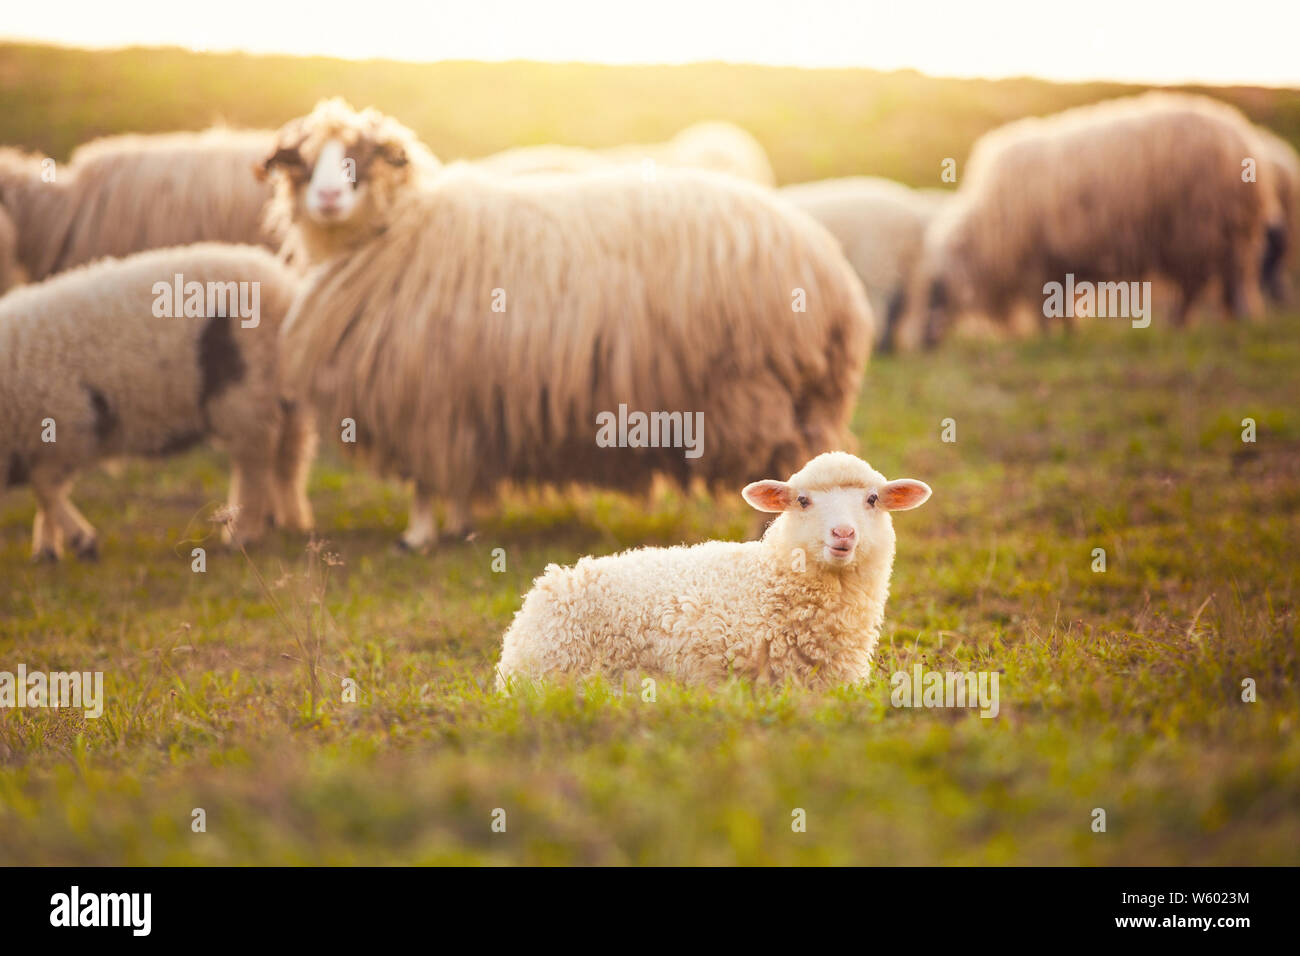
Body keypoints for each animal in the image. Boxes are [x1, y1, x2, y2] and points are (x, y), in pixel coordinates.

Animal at [0, 243, 315, 559]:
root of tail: (284, 288)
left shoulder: (68, 428)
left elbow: (44, 489)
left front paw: (81, 542)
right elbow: (45, 494)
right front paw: (47, 550)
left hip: (246, 391)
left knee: (256, 462)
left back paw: (243, 535)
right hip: (281, 396)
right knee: (288, 458)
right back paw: (291, 522)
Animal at [260, 98, 870, 551]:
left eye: (360, 156)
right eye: (304, 161)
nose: (328, 196)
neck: (399, 230)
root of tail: (828, 268)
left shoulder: (427, 395)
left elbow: (428, 478)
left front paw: (419, 535)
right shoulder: (462, 398)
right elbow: (455, 472)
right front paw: (458, 525)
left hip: (754, 389)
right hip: (794, 394)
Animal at [779, 177, 950, 351]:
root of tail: (914, 220)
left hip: (878, 267)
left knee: (883, 311)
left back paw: (881, 346)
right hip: (907, 271)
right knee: (906, 307)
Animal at [916, 92, 1282, 347]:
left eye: (937, 287)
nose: (923, 342)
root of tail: (1244, 142)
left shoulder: (1037, 265)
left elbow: (1043, 308)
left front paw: (1050, 338)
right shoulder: (1056, 266)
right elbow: (1060, 305)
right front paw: (1068, 334)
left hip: (1202, 229)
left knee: (1216, 283)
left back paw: (1217, 322)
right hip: (1213, 235)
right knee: (1215, 283)